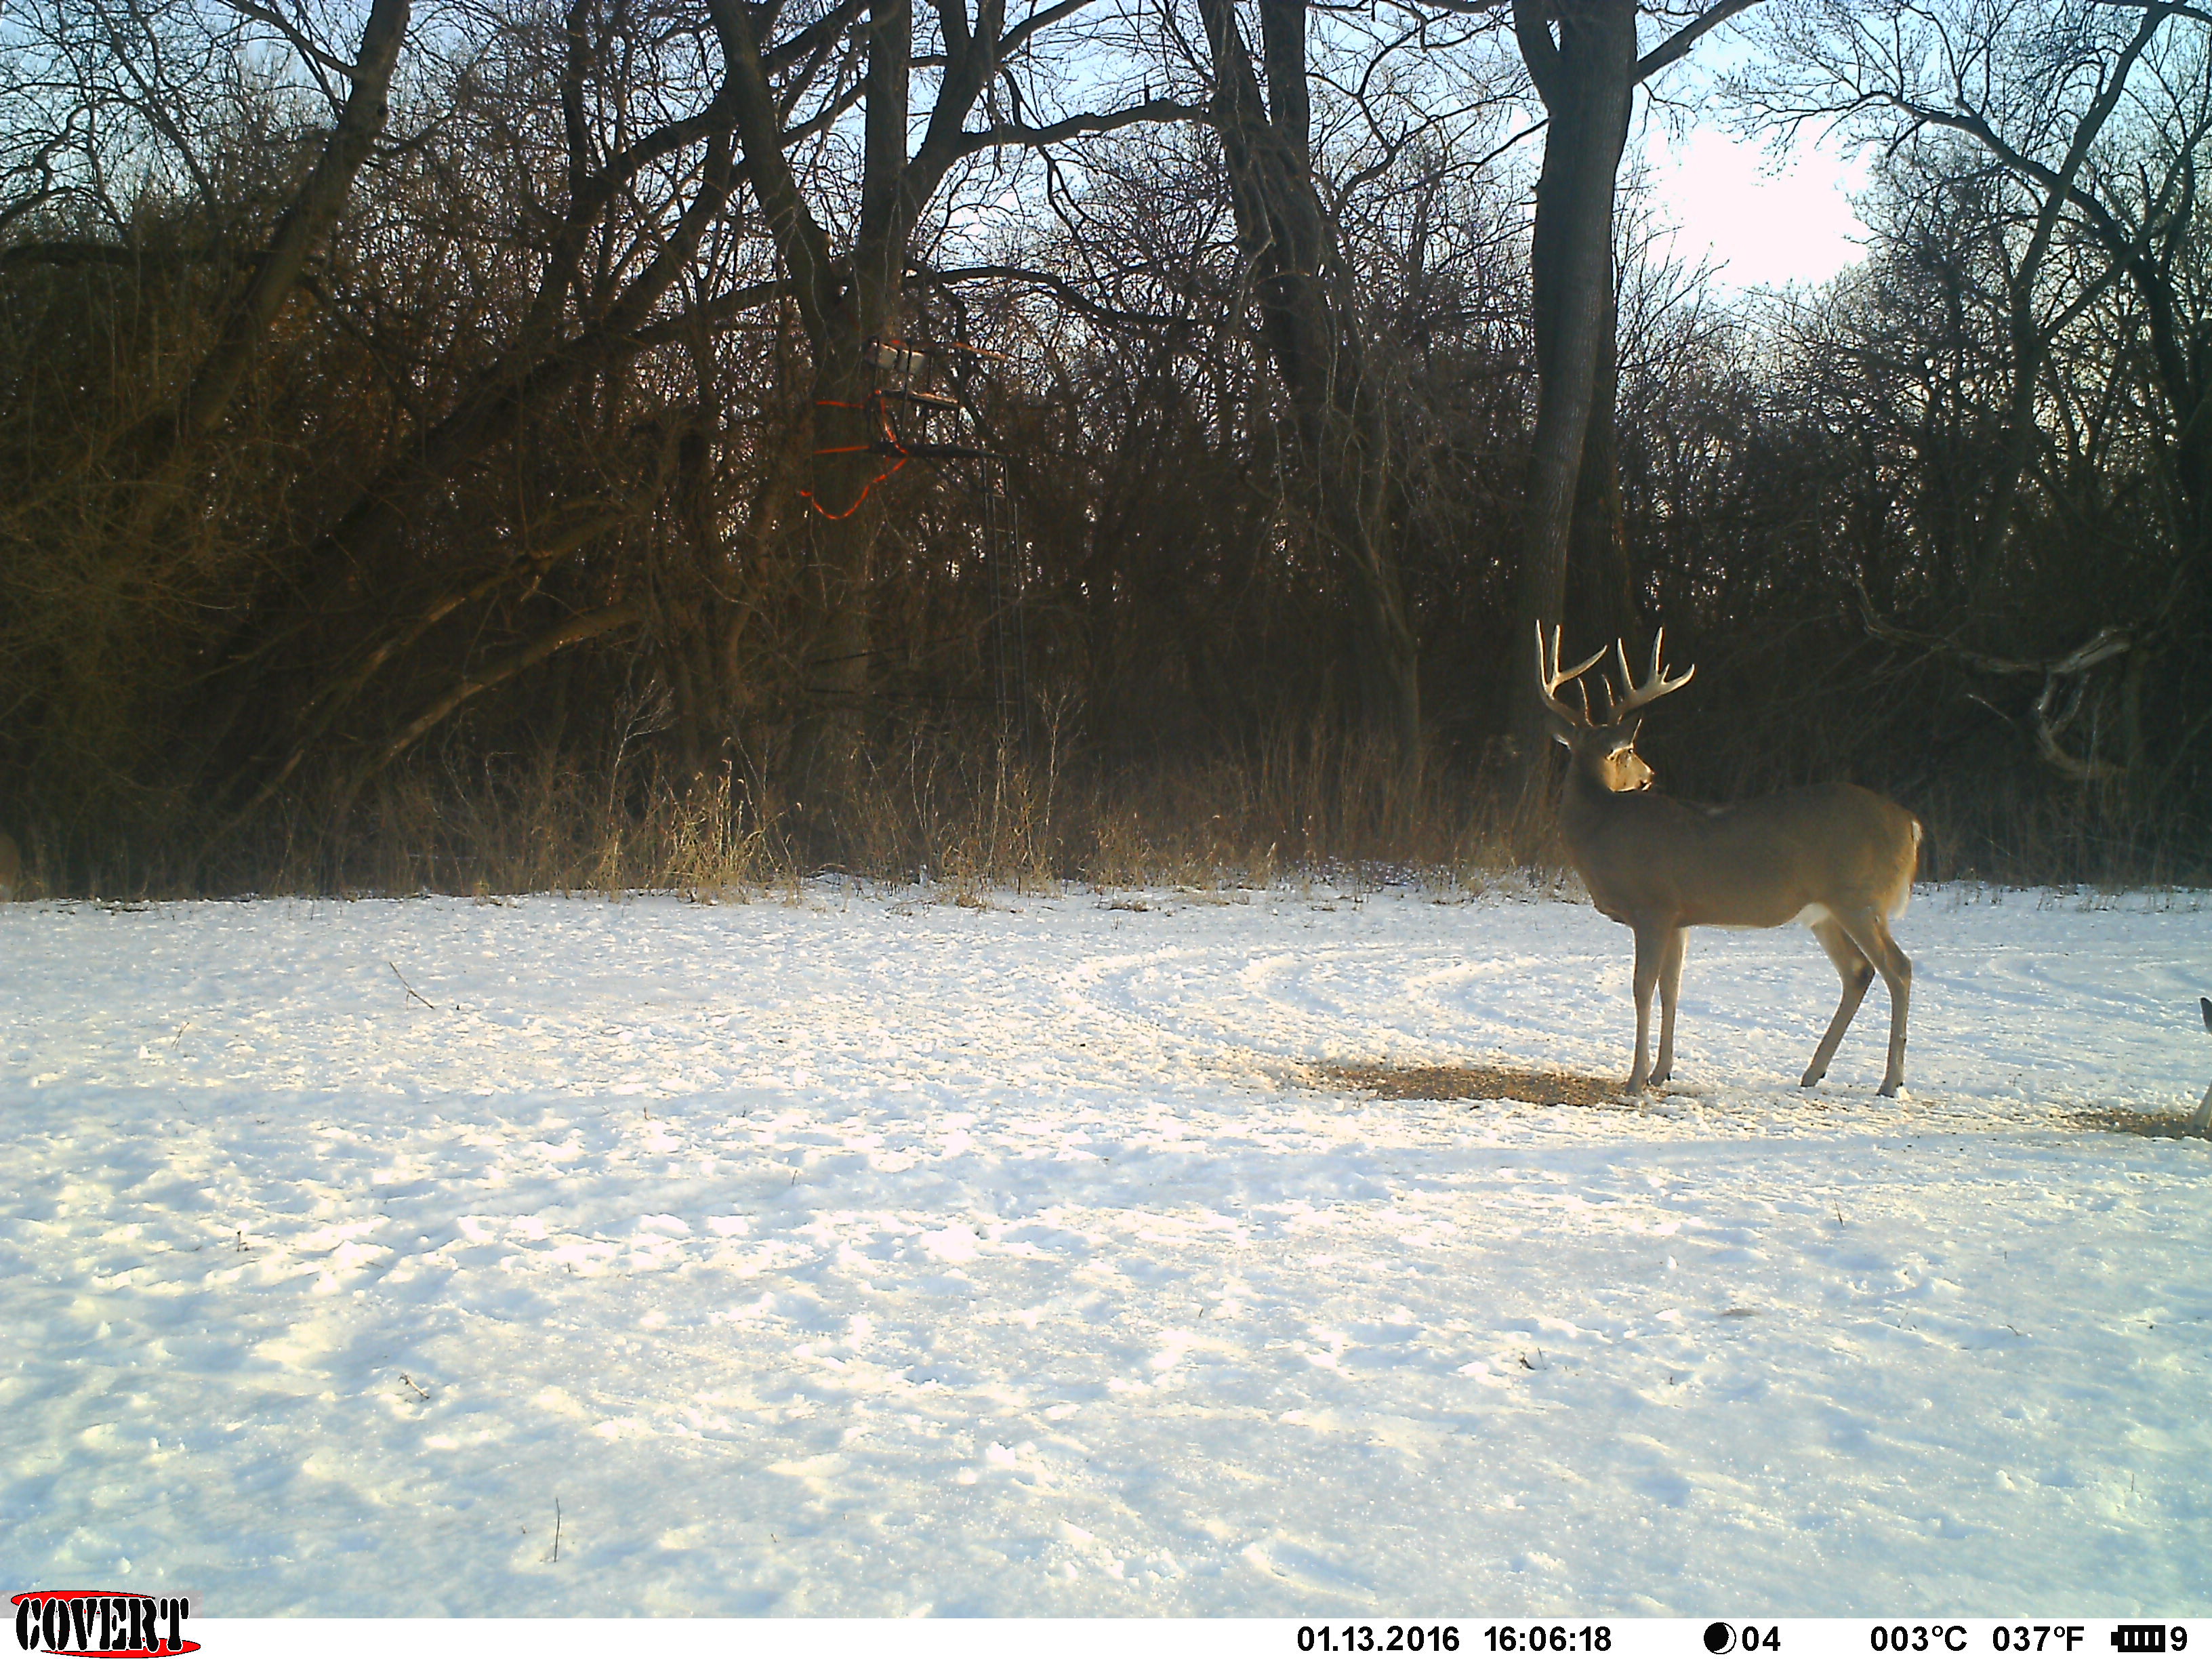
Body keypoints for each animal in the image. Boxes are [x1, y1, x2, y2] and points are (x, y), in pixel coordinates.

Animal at [1536, 626, 1923, 1098]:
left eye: (1627, 751)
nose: (1648, 775)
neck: (1601, 830)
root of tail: (1911, 824)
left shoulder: (1653, 907)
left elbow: (1642, 988)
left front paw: (1635, 1080)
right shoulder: (1679, 917)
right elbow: (1671, 988)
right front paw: (1661, 1071)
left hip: (1859, 899)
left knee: (1898, 969)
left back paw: (1891, 1081)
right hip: (1825, 912)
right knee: (1858, 972)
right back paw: (1813, 1073)